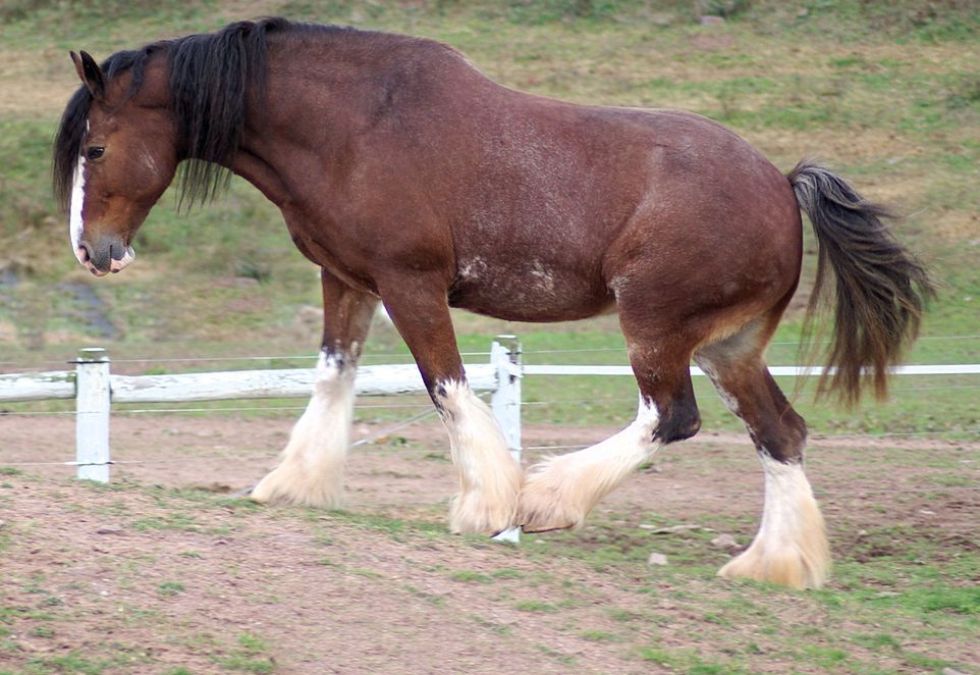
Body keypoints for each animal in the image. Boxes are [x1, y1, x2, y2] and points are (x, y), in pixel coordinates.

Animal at [54, 18, 932, 589]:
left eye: (96, 146)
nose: (93, 251)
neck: (357, 126)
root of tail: (781, 184)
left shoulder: (411, 284)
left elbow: (446, 386)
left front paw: (489, 501)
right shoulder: (349, 281)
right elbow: (334, 376)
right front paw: (291, 483)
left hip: (655, 325)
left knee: (670, 416)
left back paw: (547, 499)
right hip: (729, 344)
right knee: (779, 431)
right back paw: (775, 563)